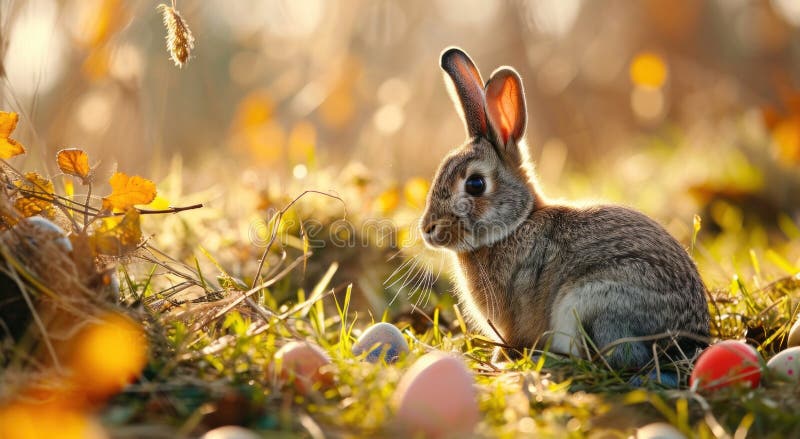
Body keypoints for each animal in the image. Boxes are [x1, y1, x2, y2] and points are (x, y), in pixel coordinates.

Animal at [420, 47, 710, 369]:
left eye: (475, 184)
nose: (427, 229)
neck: (516, 224)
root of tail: (689, 337)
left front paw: (501, 359)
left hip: (591, 302)